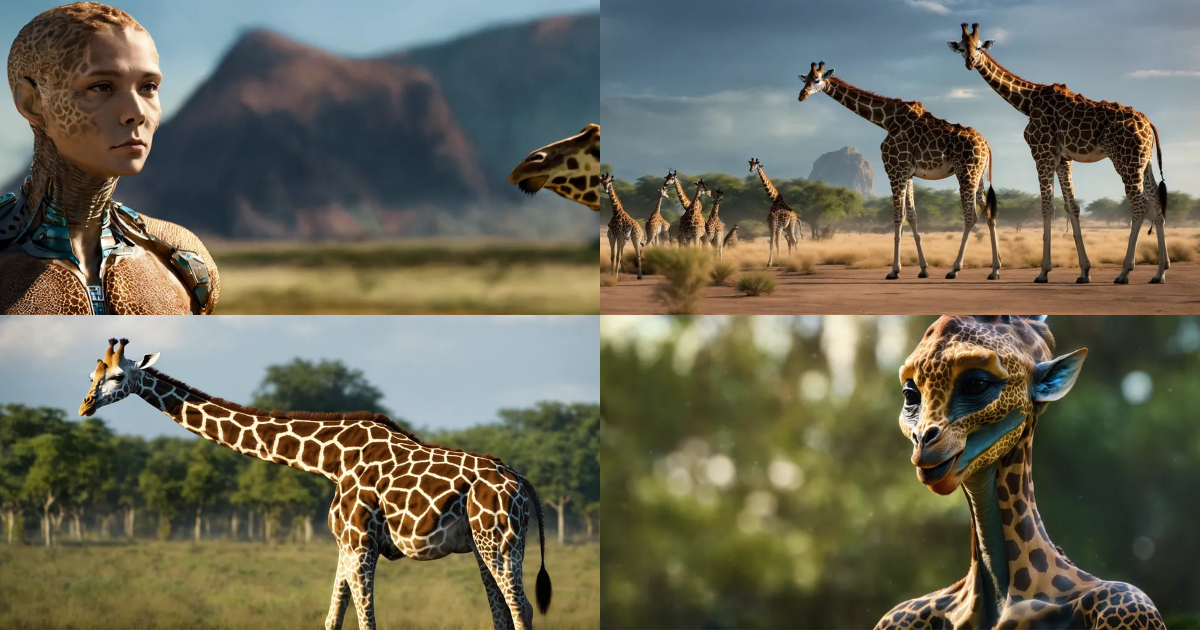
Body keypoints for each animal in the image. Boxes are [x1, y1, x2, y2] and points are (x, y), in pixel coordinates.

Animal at [78, 338, 552, 630]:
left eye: (117, 376)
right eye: (91, 374)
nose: (84, 406)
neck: (331, 459)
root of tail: (520, 482)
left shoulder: (361, 543)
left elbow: (366, 621)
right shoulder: (345, 544)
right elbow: (332, 619)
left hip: (500, 542)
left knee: (522, 608)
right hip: (485, 545)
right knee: (503, 614)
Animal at [798, 62, 1001, 280]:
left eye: (817, 79)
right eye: (805, 79)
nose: (802, 95)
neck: (886, 120)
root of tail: (987, 145)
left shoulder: (895, 170)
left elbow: (897, 217)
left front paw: (894, 270)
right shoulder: (908, 174)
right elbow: (912, 217)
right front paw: (923, 269)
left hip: (965, 174)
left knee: (971, 216)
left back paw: (954, 269)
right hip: (978, 177)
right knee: (989, 213)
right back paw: (995, 269)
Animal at [878, 316, 1164, 630]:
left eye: (976, 384)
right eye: (910, 395)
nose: (923, 442)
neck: (1001, 593)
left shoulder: (1133, 606)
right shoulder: (893, 617)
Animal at [948, 23, 1168, 284]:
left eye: (980, 46)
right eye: (963, 47)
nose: (970, 61)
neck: (1027, 102)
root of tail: (1149, 124)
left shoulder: (1041, 152)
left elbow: (1047, 207)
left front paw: (1043, 272)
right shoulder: (1063, 158)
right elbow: (1072, 207)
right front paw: (1084, 272)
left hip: (1126, 161)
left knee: (1140, 205)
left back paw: (1124, 272)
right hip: (1144, 162)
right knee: (1156, 203)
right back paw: (1160, 272)